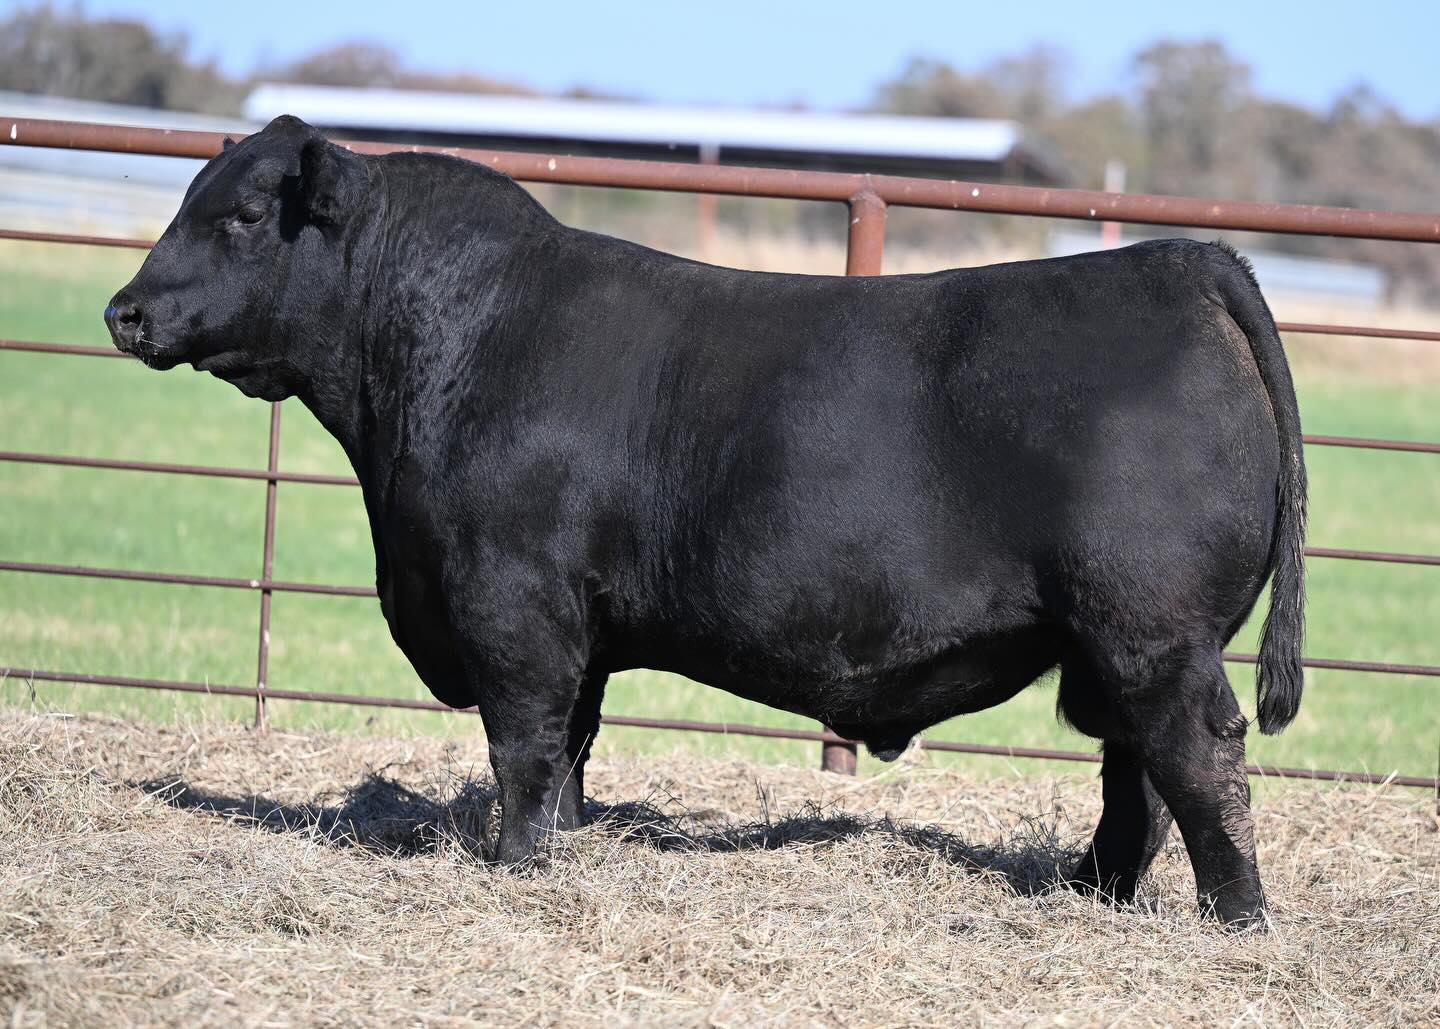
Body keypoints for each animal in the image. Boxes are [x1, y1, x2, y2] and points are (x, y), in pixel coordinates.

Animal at [106, 115, 1306, 928]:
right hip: (1113, 642)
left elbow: (522, 740)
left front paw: (515, 864)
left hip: (1150, 626)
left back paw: (1234, 916)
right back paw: (1093, 891)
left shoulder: (510, 599)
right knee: (1132, 770)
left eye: (242, 215)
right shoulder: (579, 621)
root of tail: (1181, 258)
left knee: (1196, 753)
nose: (125, 311)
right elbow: (573, 744)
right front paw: (565, 848)